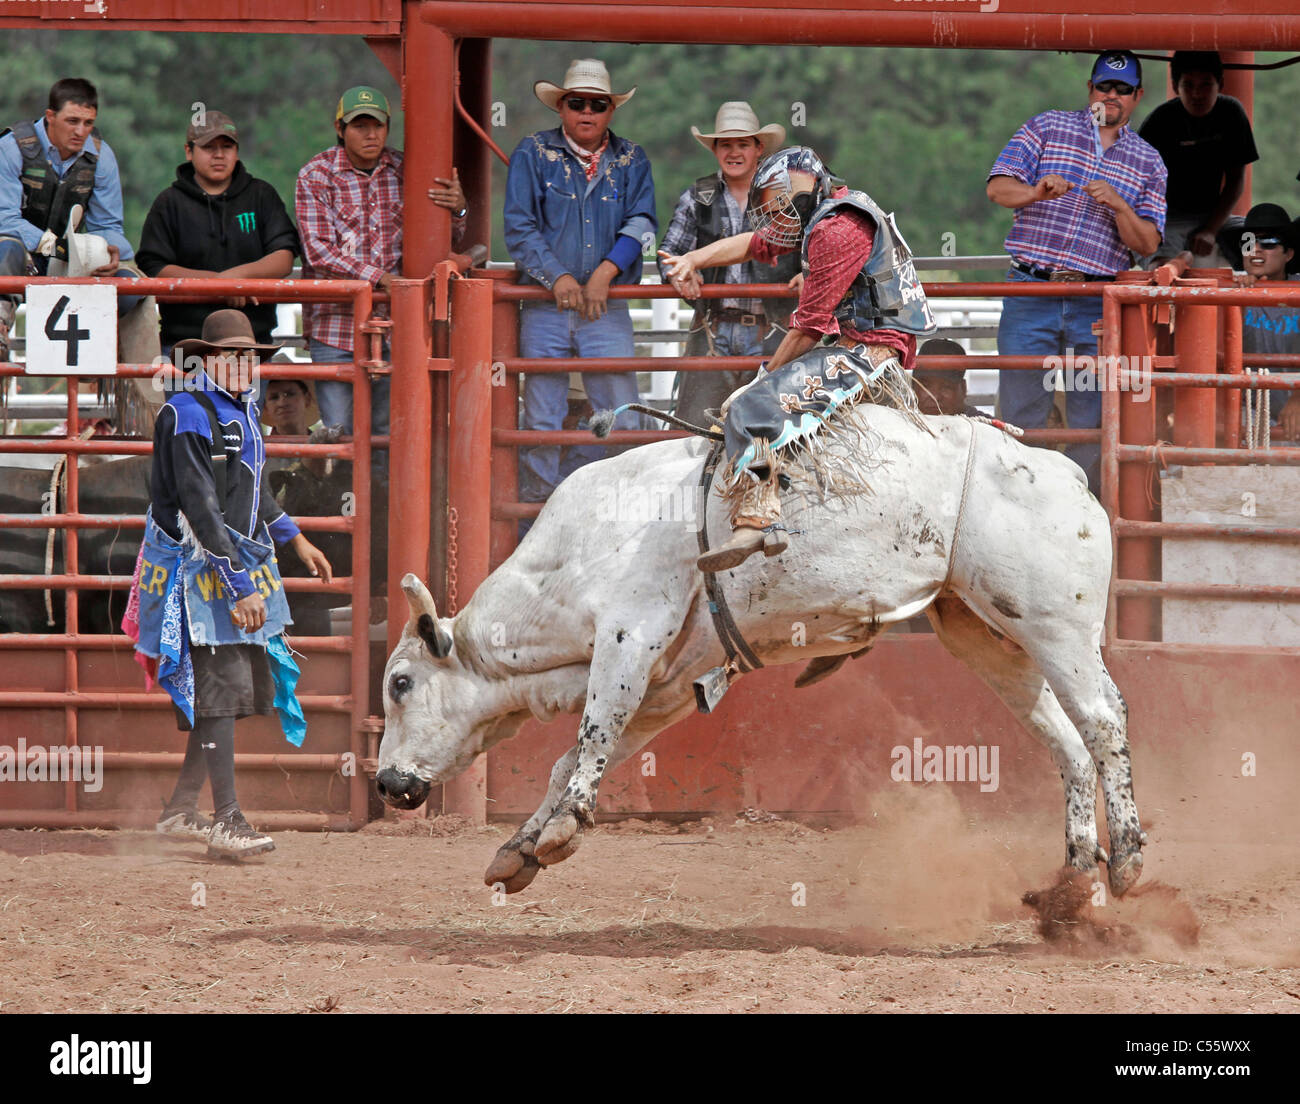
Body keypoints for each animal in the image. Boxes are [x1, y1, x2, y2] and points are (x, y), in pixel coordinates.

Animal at [375, 403, 1146, 900]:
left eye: (401, 683)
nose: (385, 783)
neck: (573, 555)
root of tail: (1068, 473)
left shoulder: (629, 636)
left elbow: (591, 734)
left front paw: (562, 829)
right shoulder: (662, 689)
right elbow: (577, 754)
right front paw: (519, 851)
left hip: (1057, 627)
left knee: (1103, 720)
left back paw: (1129, 861)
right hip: (988, 637)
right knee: (1067, 742)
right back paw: (1075, 878)